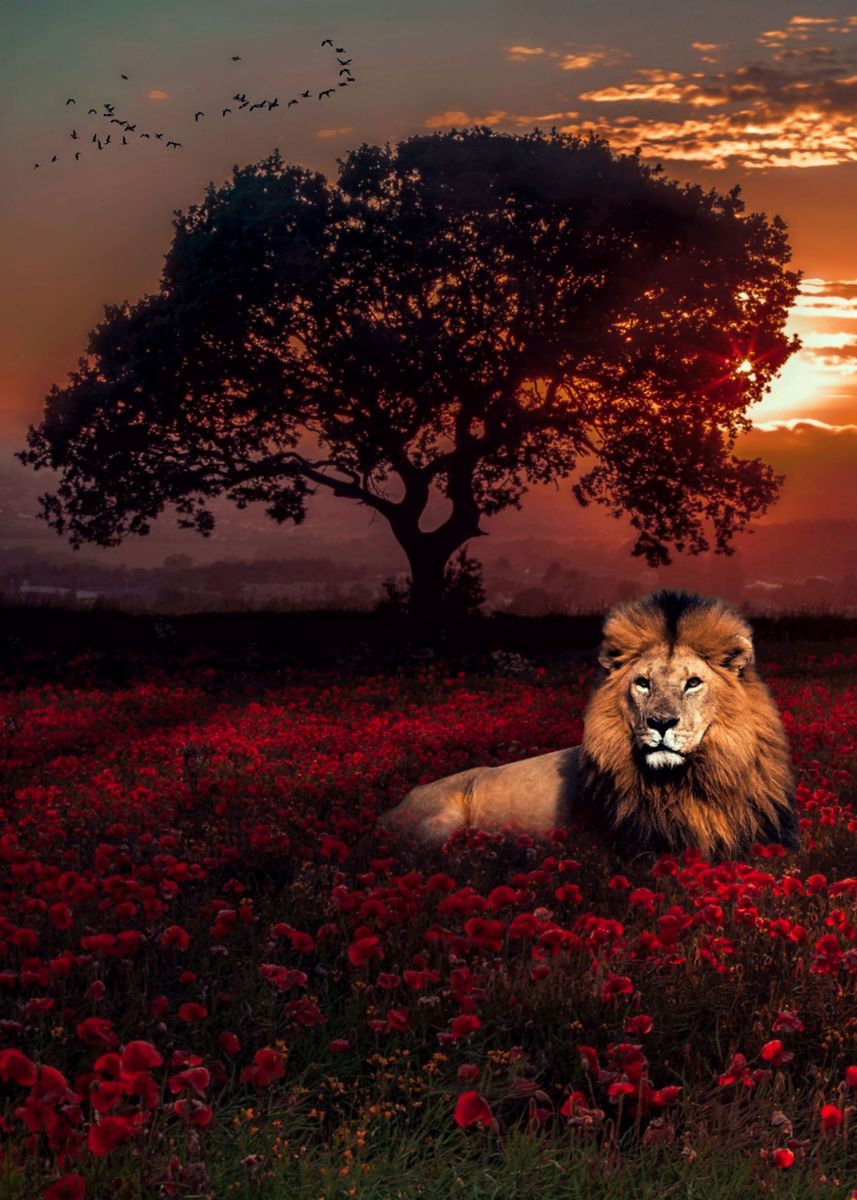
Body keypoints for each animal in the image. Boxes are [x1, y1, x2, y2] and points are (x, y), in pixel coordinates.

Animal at [378, 590, 799, 862]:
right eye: (642, 683)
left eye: (693, 682)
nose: (660, 723)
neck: (692, 780)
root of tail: (388, 811)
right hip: (438, 824)